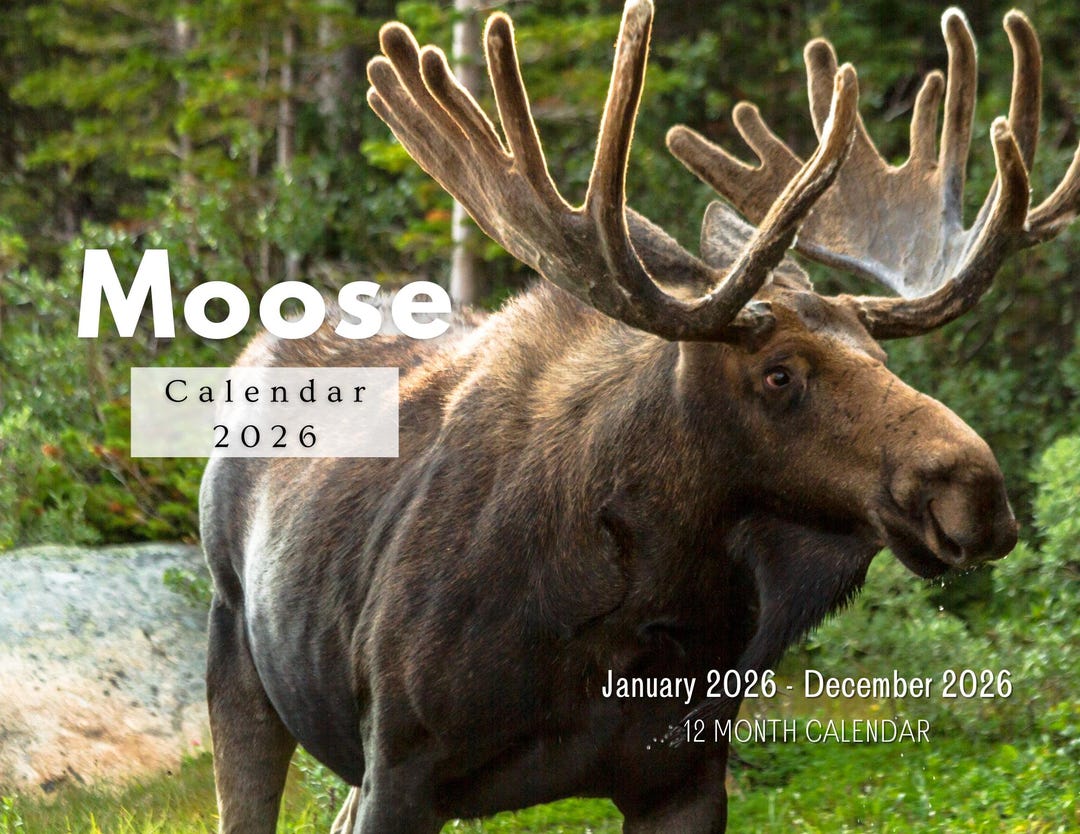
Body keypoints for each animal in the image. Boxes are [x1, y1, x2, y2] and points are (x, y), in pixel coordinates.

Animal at [199, 2, 1080, 832]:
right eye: (779, 373)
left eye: (882, 357)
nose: (977, 491)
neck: (639, 606)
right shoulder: (401, 766)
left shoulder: (683, 776)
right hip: (237, 646)